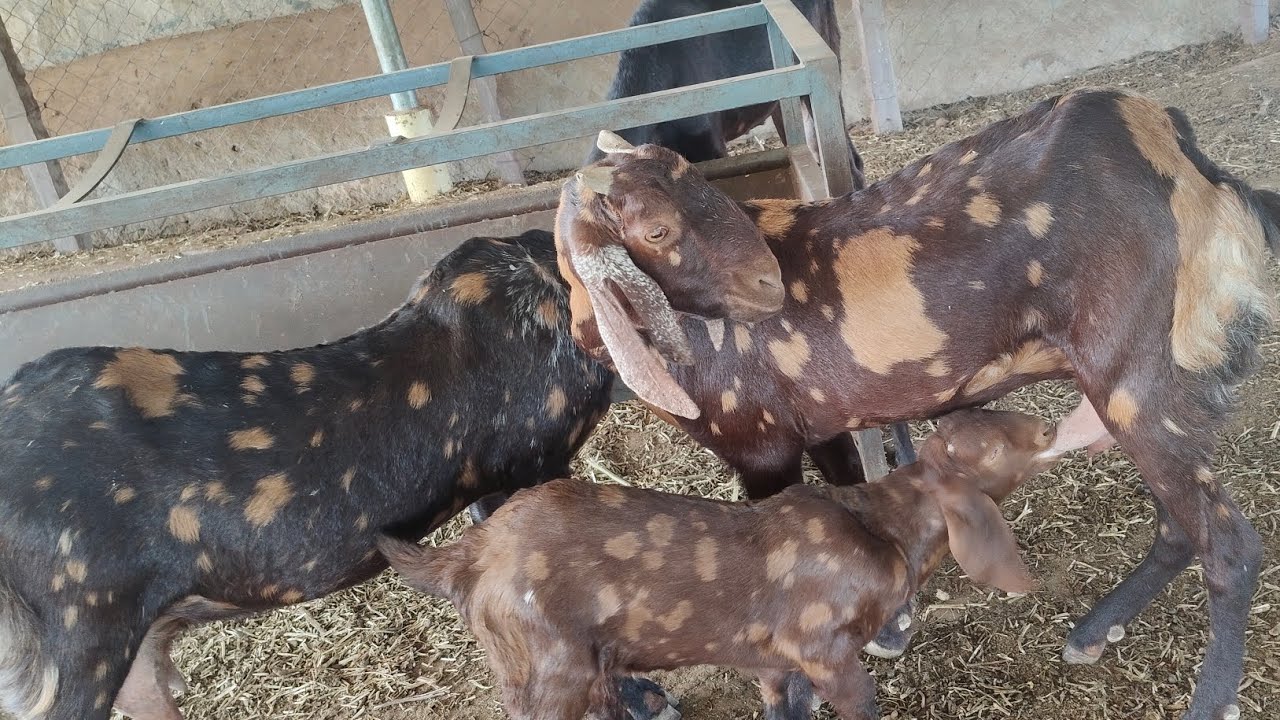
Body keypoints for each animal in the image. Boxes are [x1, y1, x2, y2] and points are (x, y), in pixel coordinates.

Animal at [380, 408, 1059, 720]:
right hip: (543, 666)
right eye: (991, 450)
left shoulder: (774, 659)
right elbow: (859, 702)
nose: (1050, 427)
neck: (884, 531)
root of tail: (465, 559)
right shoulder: (820, 643)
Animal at [554, 89, 1280, 720]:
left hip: (1140, 376)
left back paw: (1209, 700)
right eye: (656, 228)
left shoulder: (760, 445)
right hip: (1140, 387)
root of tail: (1185, 163)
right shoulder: (819, 423)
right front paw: (891, 622)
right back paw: (1095, 632)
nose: (768, 286)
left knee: (1231, 548)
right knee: (1179, 527)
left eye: (701, 191)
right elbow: (853, 496)